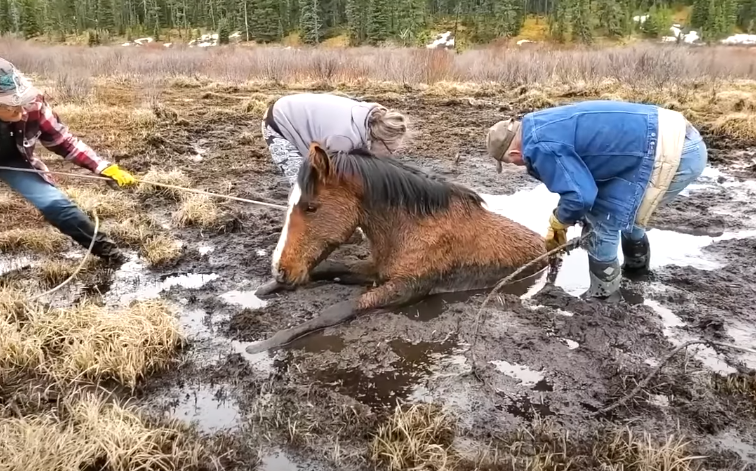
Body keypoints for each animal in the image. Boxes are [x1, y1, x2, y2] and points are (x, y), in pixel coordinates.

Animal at [245, 143, 548, 354]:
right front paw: (266, 289)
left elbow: (337, 310)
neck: (413, 227)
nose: (282, 270)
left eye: (311, 206)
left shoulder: (406, 289)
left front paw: (266, 343)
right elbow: (331, 268)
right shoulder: (376, 269)